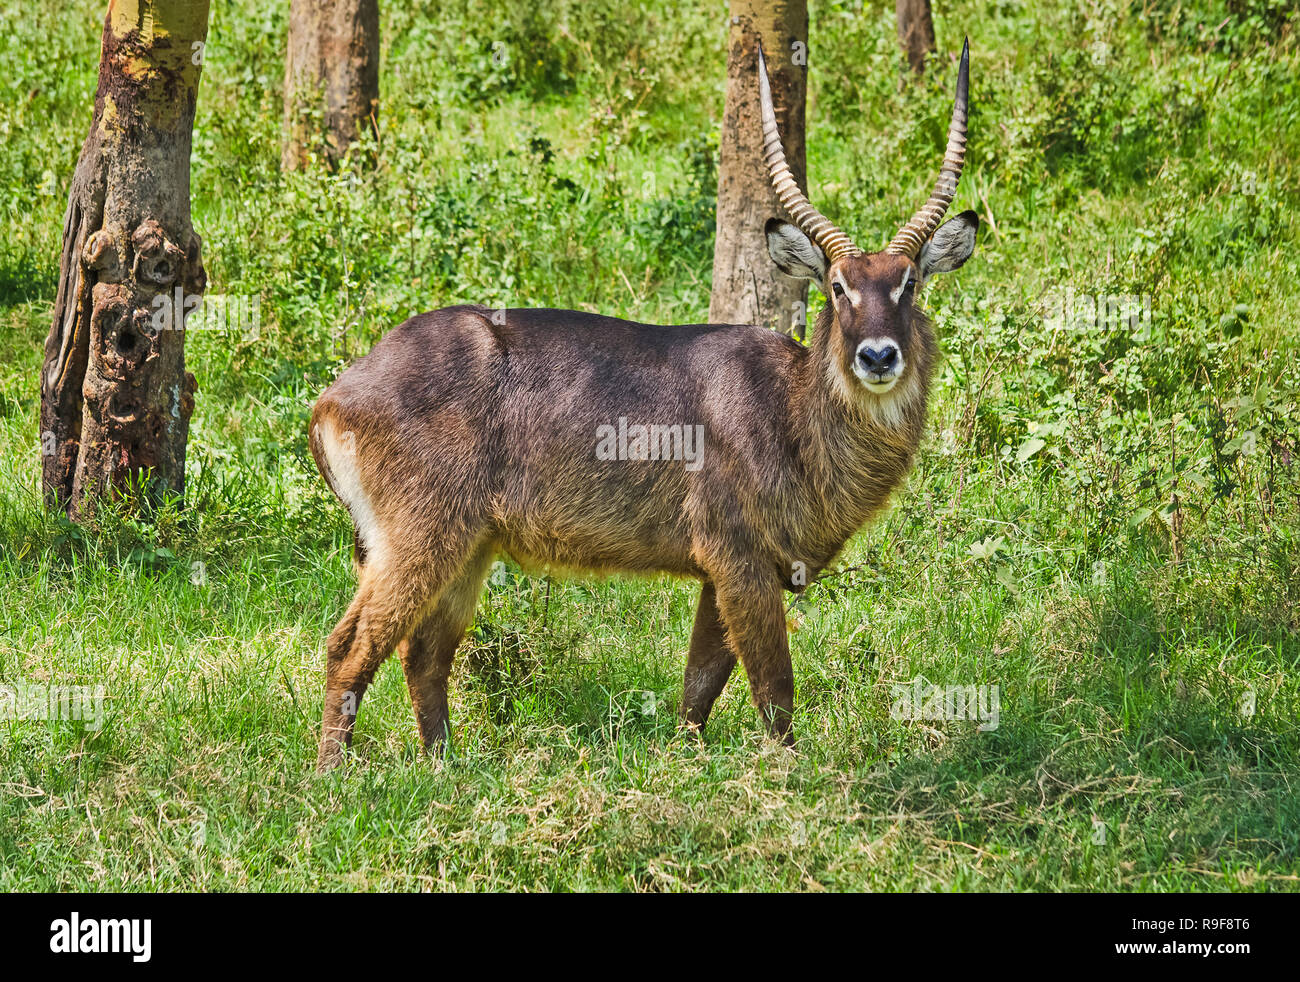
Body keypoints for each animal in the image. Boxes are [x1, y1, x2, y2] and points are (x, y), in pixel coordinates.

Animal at [309, 40, 978, 770]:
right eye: (836, 287)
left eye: (909, 283)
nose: (879, 357)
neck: (792, 408)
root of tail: (335, 395)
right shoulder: (738, 557)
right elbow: (772, 684)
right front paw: (793, 775)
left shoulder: (723, 571)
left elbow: (701, 681)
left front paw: (687, 763)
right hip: (417, 537)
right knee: (350, 646)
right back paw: (336, 776)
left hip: (470, 546)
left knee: (425, 654)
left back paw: (446, 766)